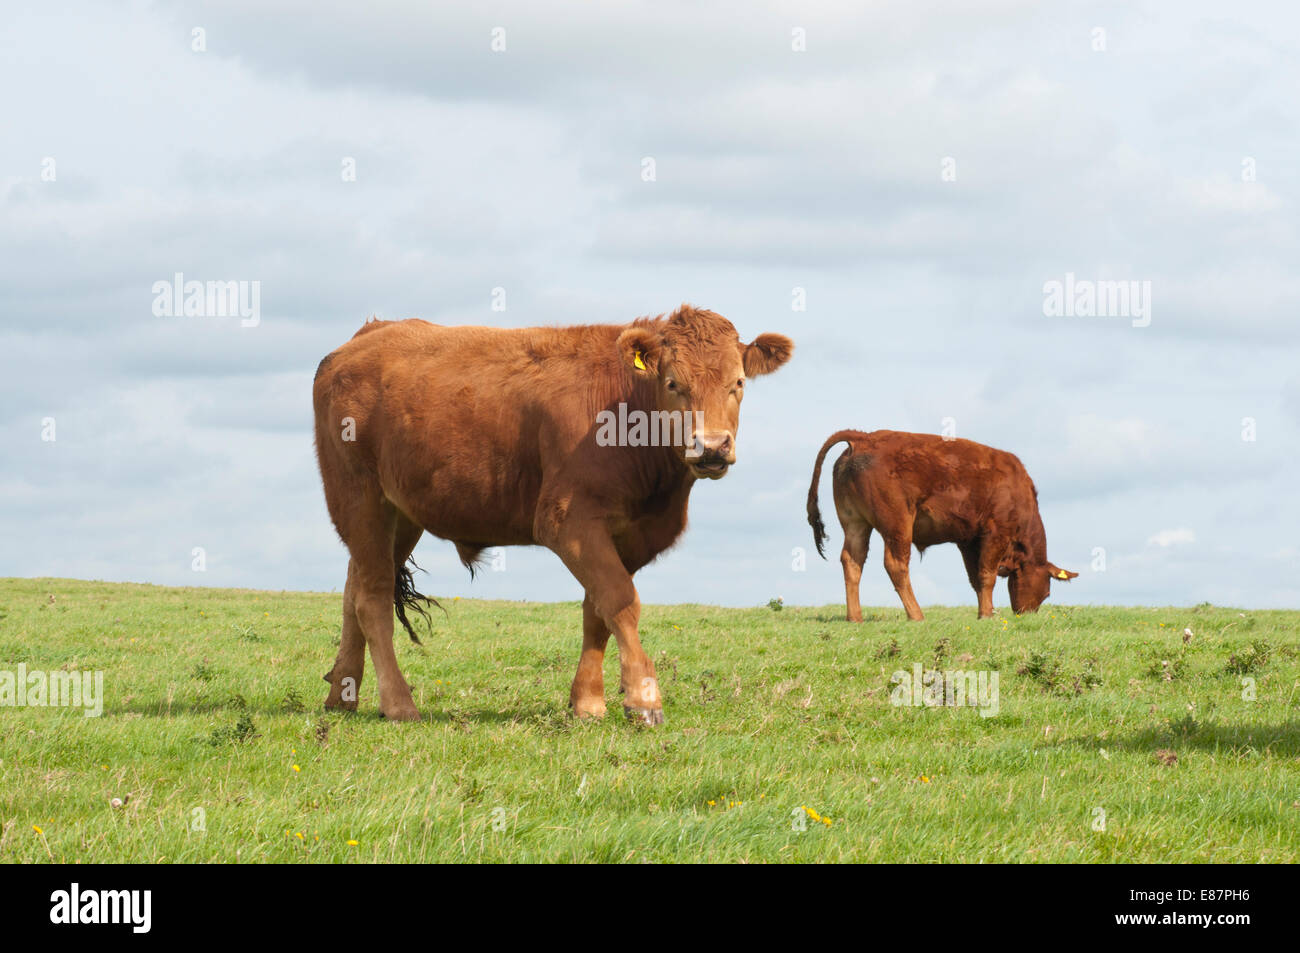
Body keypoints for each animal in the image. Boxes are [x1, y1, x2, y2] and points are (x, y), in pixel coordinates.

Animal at [313, 305, 793, 724]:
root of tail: (368, 334)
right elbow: (620, 600)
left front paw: (588, 703)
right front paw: (642, 699)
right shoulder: (567, 521)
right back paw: (399, 705)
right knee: (372, 598)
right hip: (359, 497)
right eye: (674, 383)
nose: (711, 447)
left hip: (400, 513)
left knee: (354, 589)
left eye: (738, 382)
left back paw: (342, 694)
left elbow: (597, 612)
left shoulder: (631, 534)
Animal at [806, 430, 1077, 621]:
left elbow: (975, 577)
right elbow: (987, 575)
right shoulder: (996, 532)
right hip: (898, 524)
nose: (1026, 615)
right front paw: (988, 614)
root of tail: (863, 437)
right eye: (1048, 593)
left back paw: (855, 617)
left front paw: (982, 613)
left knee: (852, 561)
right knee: (896, 565)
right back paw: (916, 615)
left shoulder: (968, 540)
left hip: (855, 523)